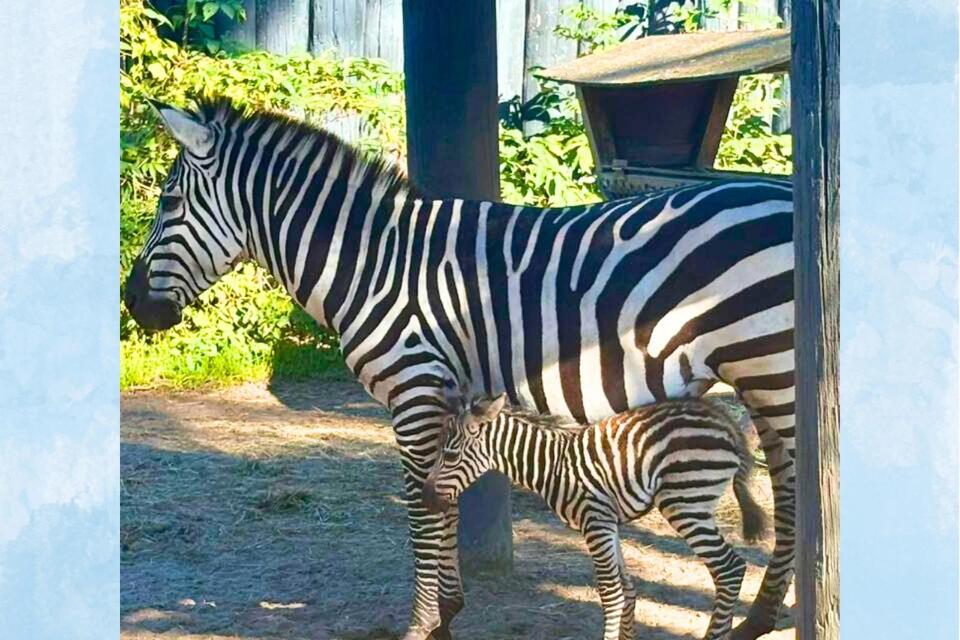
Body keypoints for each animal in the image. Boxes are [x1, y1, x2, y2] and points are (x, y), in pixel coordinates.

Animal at [423, 391, 768, 640]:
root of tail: (724, 419)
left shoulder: (595, 521)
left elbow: (611, 594)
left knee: (730, 568)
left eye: (450, 455)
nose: (427, 501)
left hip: (686, 503)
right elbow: (627, 590)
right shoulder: (608, 523)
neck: (553, 465)